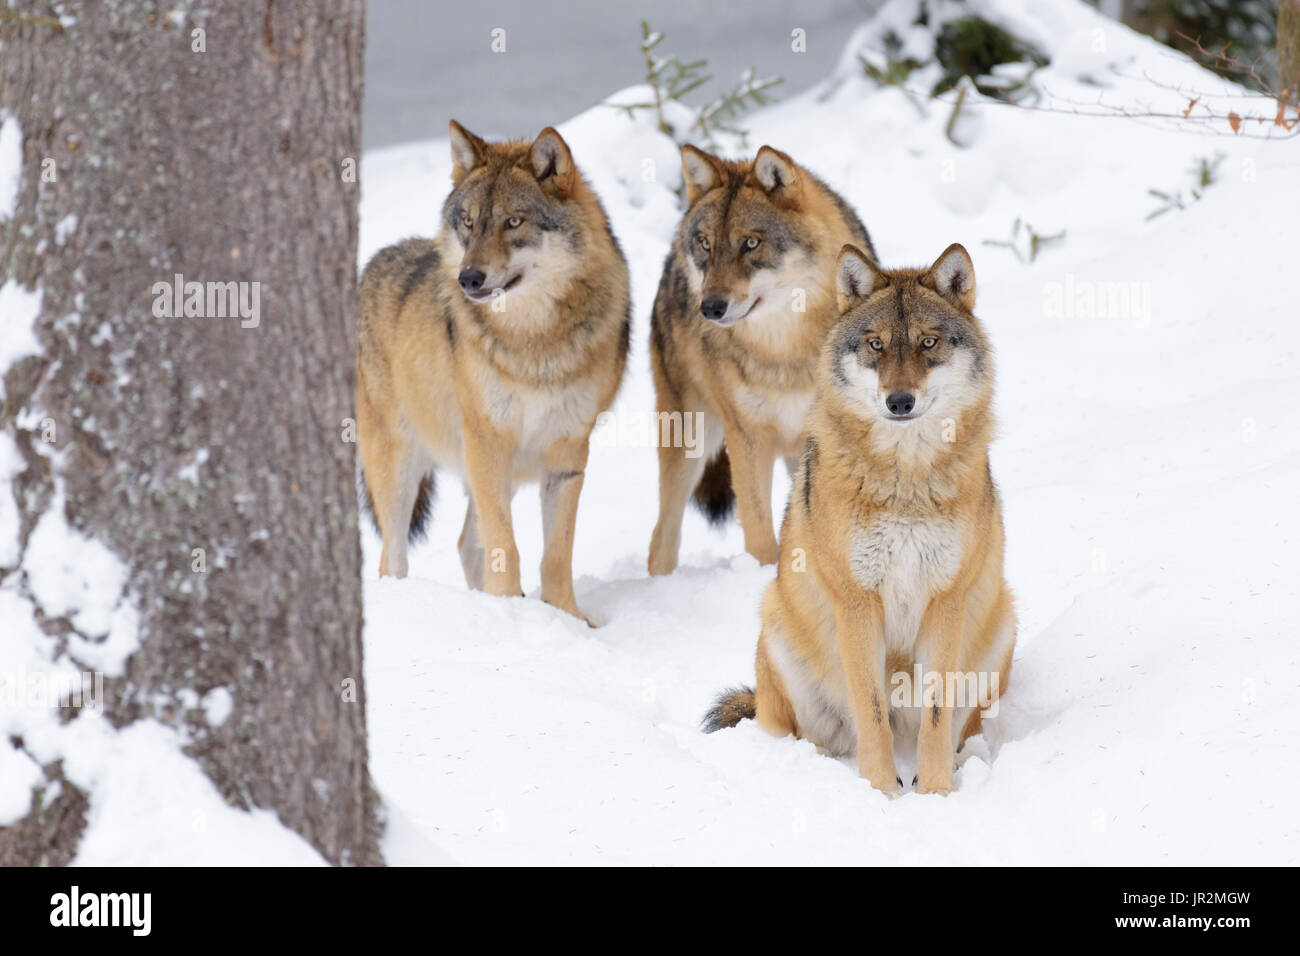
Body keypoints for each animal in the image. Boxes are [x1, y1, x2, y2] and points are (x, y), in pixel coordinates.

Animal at [356, 122, 630, 624]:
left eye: (513, 222)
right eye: (469, 222)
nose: (468, 278)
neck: (533, 341)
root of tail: (373, 262)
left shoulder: (568, 453)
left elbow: (555, 555)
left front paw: (567, 619)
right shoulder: (488, 441)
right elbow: (507, 545)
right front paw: (513, 612)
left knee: (466, 542)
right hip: (402, 467)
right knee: (392, 558)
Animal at [647, 144, 876, 575]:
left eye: (750, 243)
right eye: (705, 244)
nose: (710, 307)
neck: (785, 353)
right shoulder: (747, 436)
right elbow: (757, 529)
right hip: (689, 442)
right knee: (662, 536)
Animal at [703, 243, 1017, 796]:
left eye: (928, 342)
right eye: (875, 345)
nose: (900, 401)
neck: (906, 483)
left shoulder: (946, 601)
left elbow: (936, 717)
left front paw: (936, 792)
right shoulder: (857, 601)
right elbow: (870, 712)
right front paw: (882, 791)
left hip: (1000, 625)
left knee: (957, 729)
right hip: (778, 626)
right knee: (803, 732)